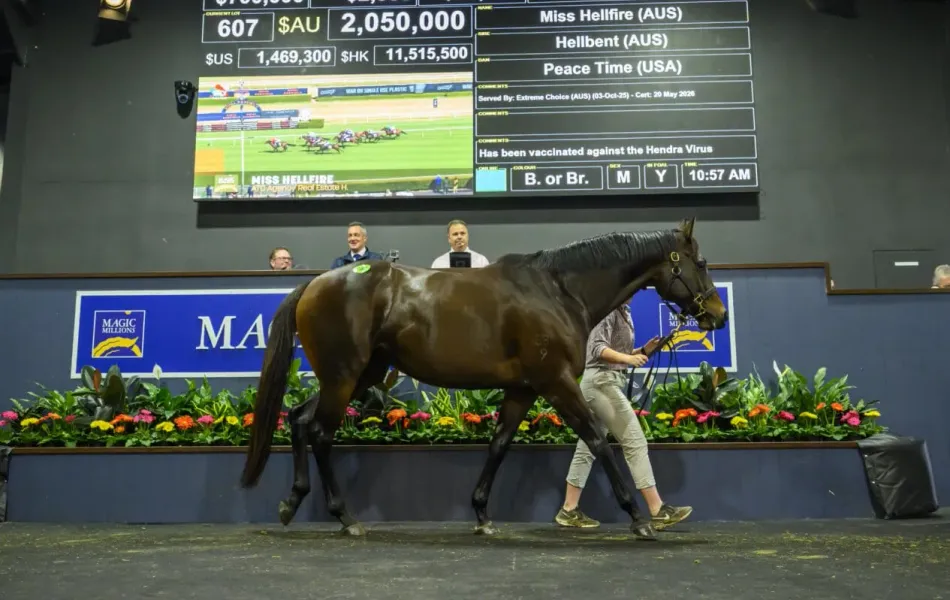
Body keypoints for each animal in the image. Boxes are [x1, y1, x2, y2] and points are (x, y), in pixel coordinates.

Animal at [239, 218, 727, 541]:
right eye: (701, 261)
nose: (717, 315)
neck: (558, 291)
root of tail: (315, 283)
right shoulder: (556, 383)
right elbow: (597, 439)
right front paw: (639, 518)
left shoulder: (523, 390)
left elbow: (499, 445)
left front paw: (482, 515)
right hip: (344, 376)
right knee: (320, 432)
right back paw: (346, 518)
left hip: (360, 376)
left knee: (300, 420)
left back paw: (291, 504)